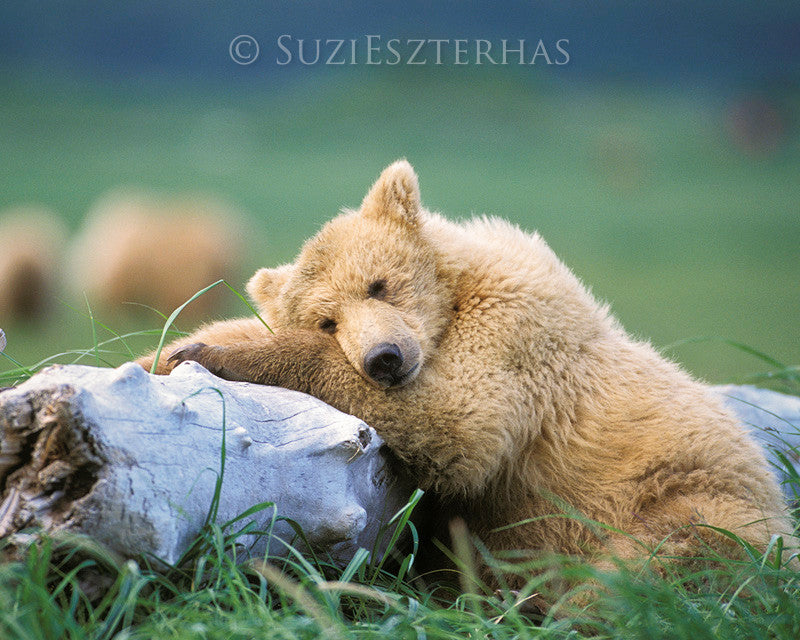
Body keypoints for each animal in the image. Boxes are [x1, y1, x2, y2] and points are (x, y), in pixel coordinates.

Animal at [137, 160, 794, 593]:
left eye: (378, 284)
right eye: (328, 319)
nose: (383, 358)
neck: (454, 300)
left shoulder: (516, 335)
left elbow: (457, 422)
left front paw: (218, 355)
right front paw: (168, 352)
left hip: (692, 500)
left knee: (658, 563)